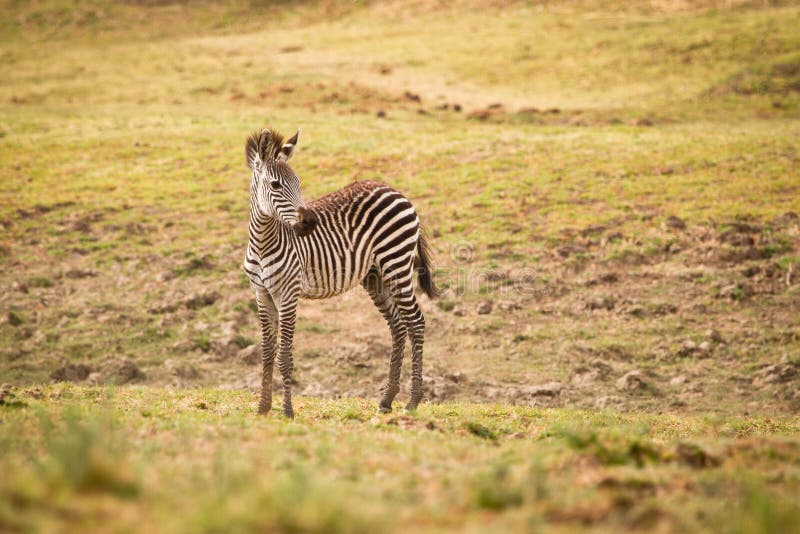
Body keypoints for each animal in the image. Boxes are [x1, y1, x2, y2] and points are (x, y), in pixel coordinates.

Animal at [242, 127, 439, 418]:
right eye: (276, 185)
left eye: (298, 183)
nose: (310, 222)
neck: (263, 243)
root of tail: (395, 190)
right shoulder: (262, 294)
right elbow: (267, 351)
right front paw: (263, 408)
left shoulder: (288, 294)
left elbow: (284, 354)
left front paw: (287, 410)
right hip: (375, 275)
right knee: (398, 326)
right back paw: (386, 400)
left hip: (397, 263)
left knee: (416, 322)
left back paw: (413, 401)